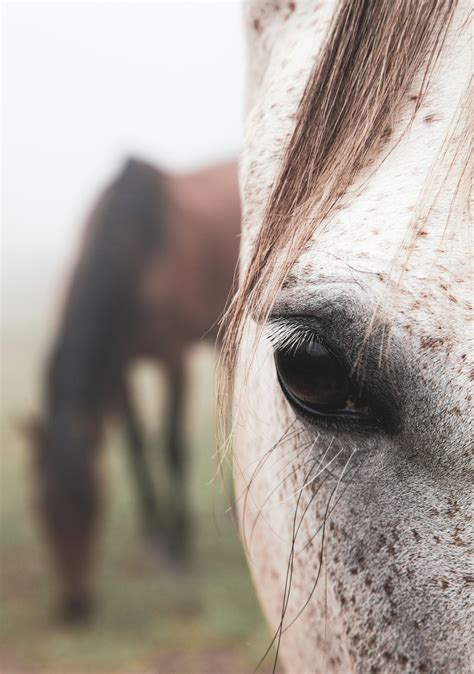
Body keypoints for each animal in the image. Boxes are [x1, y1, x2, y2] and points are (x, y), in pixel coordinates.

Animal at [30, 157, 240, 622]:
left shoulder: (173, 356)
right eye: (42, 509)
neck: (135, 245)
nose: (75, 606)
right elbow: (136, 443)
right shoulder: (119, 367)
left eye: (93, 504)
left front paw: (178, 544)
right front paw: (153, 536)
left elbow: (172, 444)